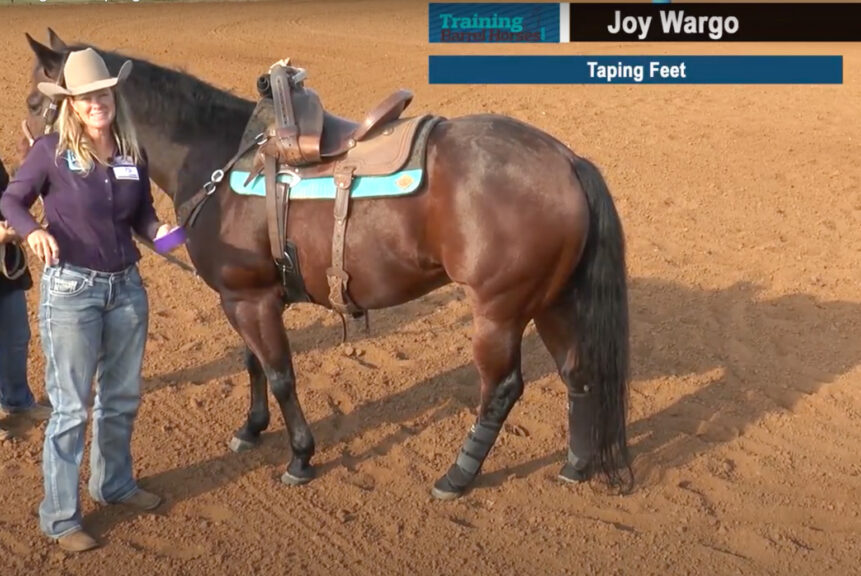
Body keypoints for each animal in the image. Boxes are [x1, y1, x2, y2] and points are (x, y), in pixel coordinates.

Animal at [20, 29, 633, 500]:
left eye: (31, 103)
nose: (29, 164)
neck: (218, 156)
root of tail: (565, 159)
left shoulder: (251, 299)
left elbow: (280, 374)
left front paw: (299, 457)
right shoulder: (243, 295)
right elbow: (252, 364)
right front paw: (251, 429)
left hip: (500, 311)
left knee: (501, 389)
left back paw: (457, 476)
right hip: (553, 300)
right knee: (578, 373)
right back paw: (576, 465)